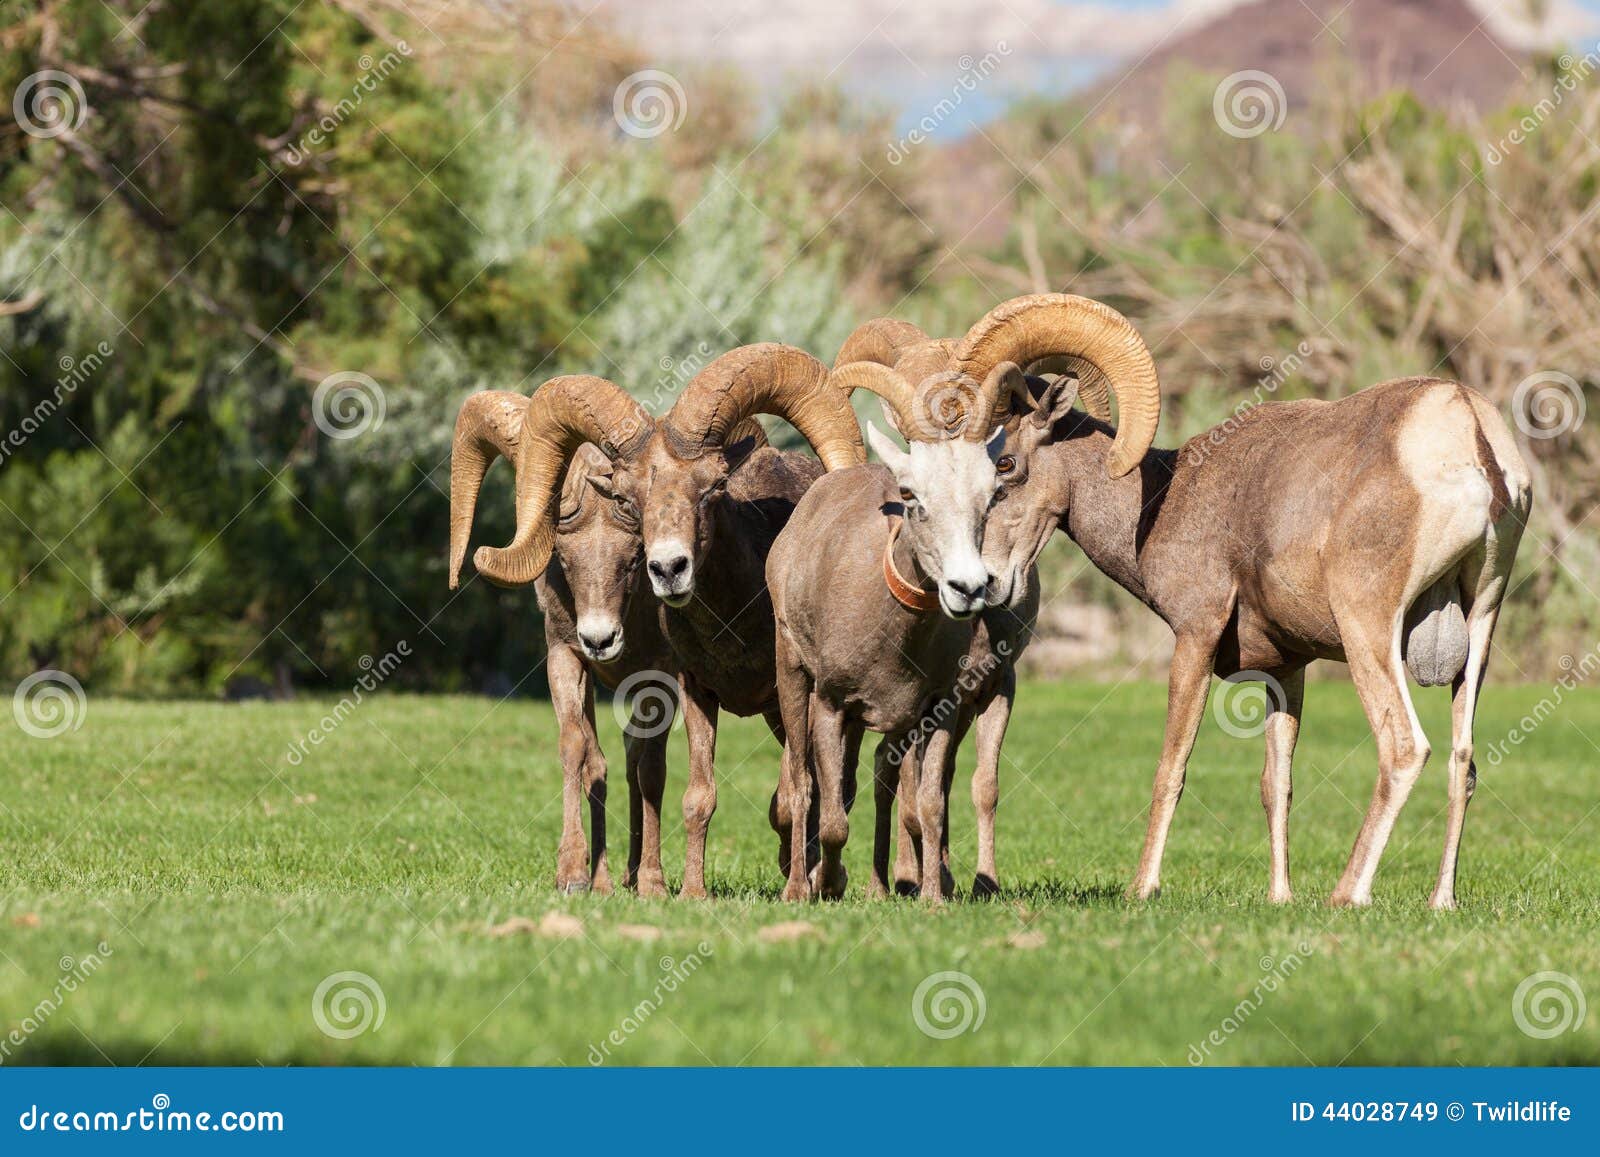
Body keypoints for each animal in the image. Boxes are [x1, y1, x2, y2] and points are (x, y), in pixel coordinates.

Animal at [451, 347, 865, 897]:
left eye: (715, 487)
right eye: (630, 500)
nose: (668, 569)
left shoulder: (673, 681)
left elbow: (660, 773)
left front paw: (652, 884)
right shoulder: (569, 660)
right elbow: (583, 754)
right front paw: (580, 877)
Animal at [769, 295, 1163, 902]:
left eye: (1002, 470)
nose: (978, 585)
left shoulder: (986, 690)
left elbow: (972, 788)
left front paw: (974, 884)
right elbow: (881, 798)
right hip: (800, 681)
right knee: (813, 781)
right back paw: (822, 882)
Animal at [975, 295, 1533, 908]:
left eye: (1005, 464)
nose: (986, 582)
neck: (1162, 499)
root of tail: (1467, 434)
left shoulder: (1195, 635)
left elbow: (1172, 768)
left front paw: (1142, 889)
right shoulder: (1287, 670)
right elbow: (1277, 785)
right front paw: (1280, 897)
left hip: (1369, 627)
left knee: (1404, 748)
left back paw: (1348, 895)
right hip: (1481, 625)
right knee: (1463, 758)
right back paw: (1441, 901)